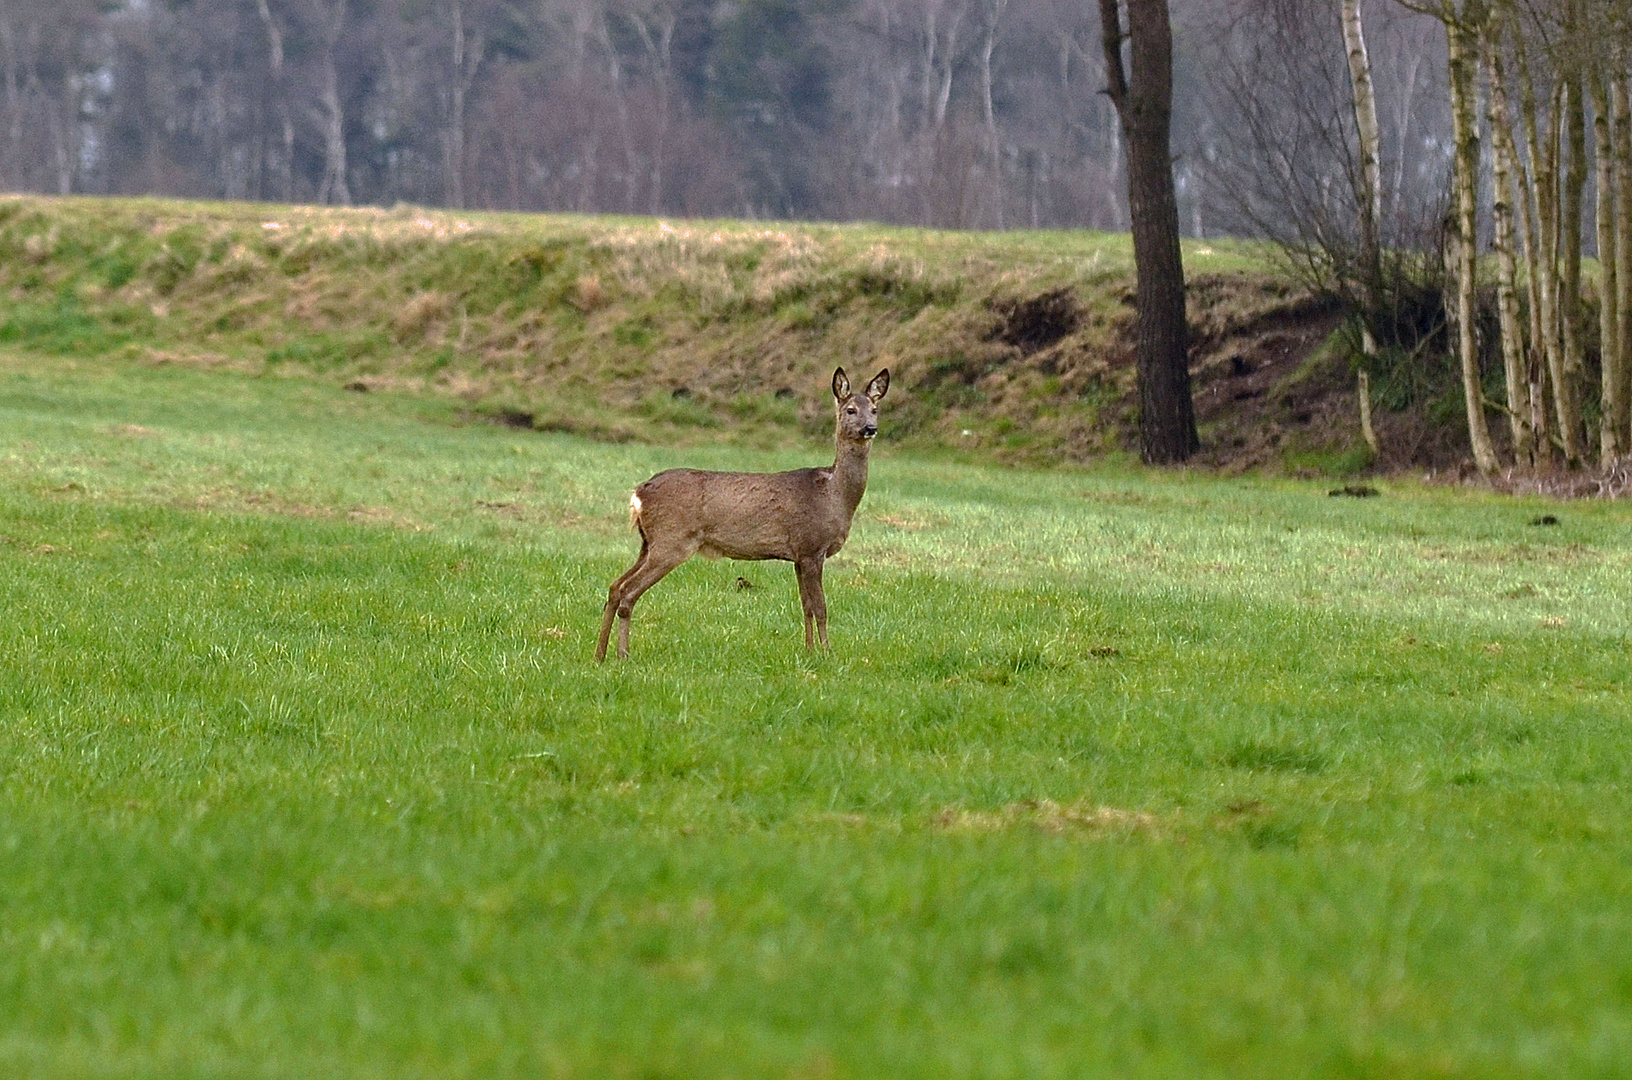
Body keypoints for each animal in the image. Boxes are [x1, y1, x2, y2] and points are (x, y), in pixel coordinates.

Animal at [595, 367, 890, 661]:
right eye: (851, 409)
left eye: (875, 409)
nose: (870, 428)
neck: (833, 496)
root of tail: (639, 493)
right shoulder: (811, 547)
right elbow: (820, 607)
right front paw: (827, 653)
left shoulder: (798, 555)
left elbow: (805, 605)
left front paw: (808, 650)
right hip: (671, 541)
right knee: (628, 592)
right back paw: (622, 654)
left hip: (648, 542)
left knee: (615, 586)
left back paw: (600, 654)